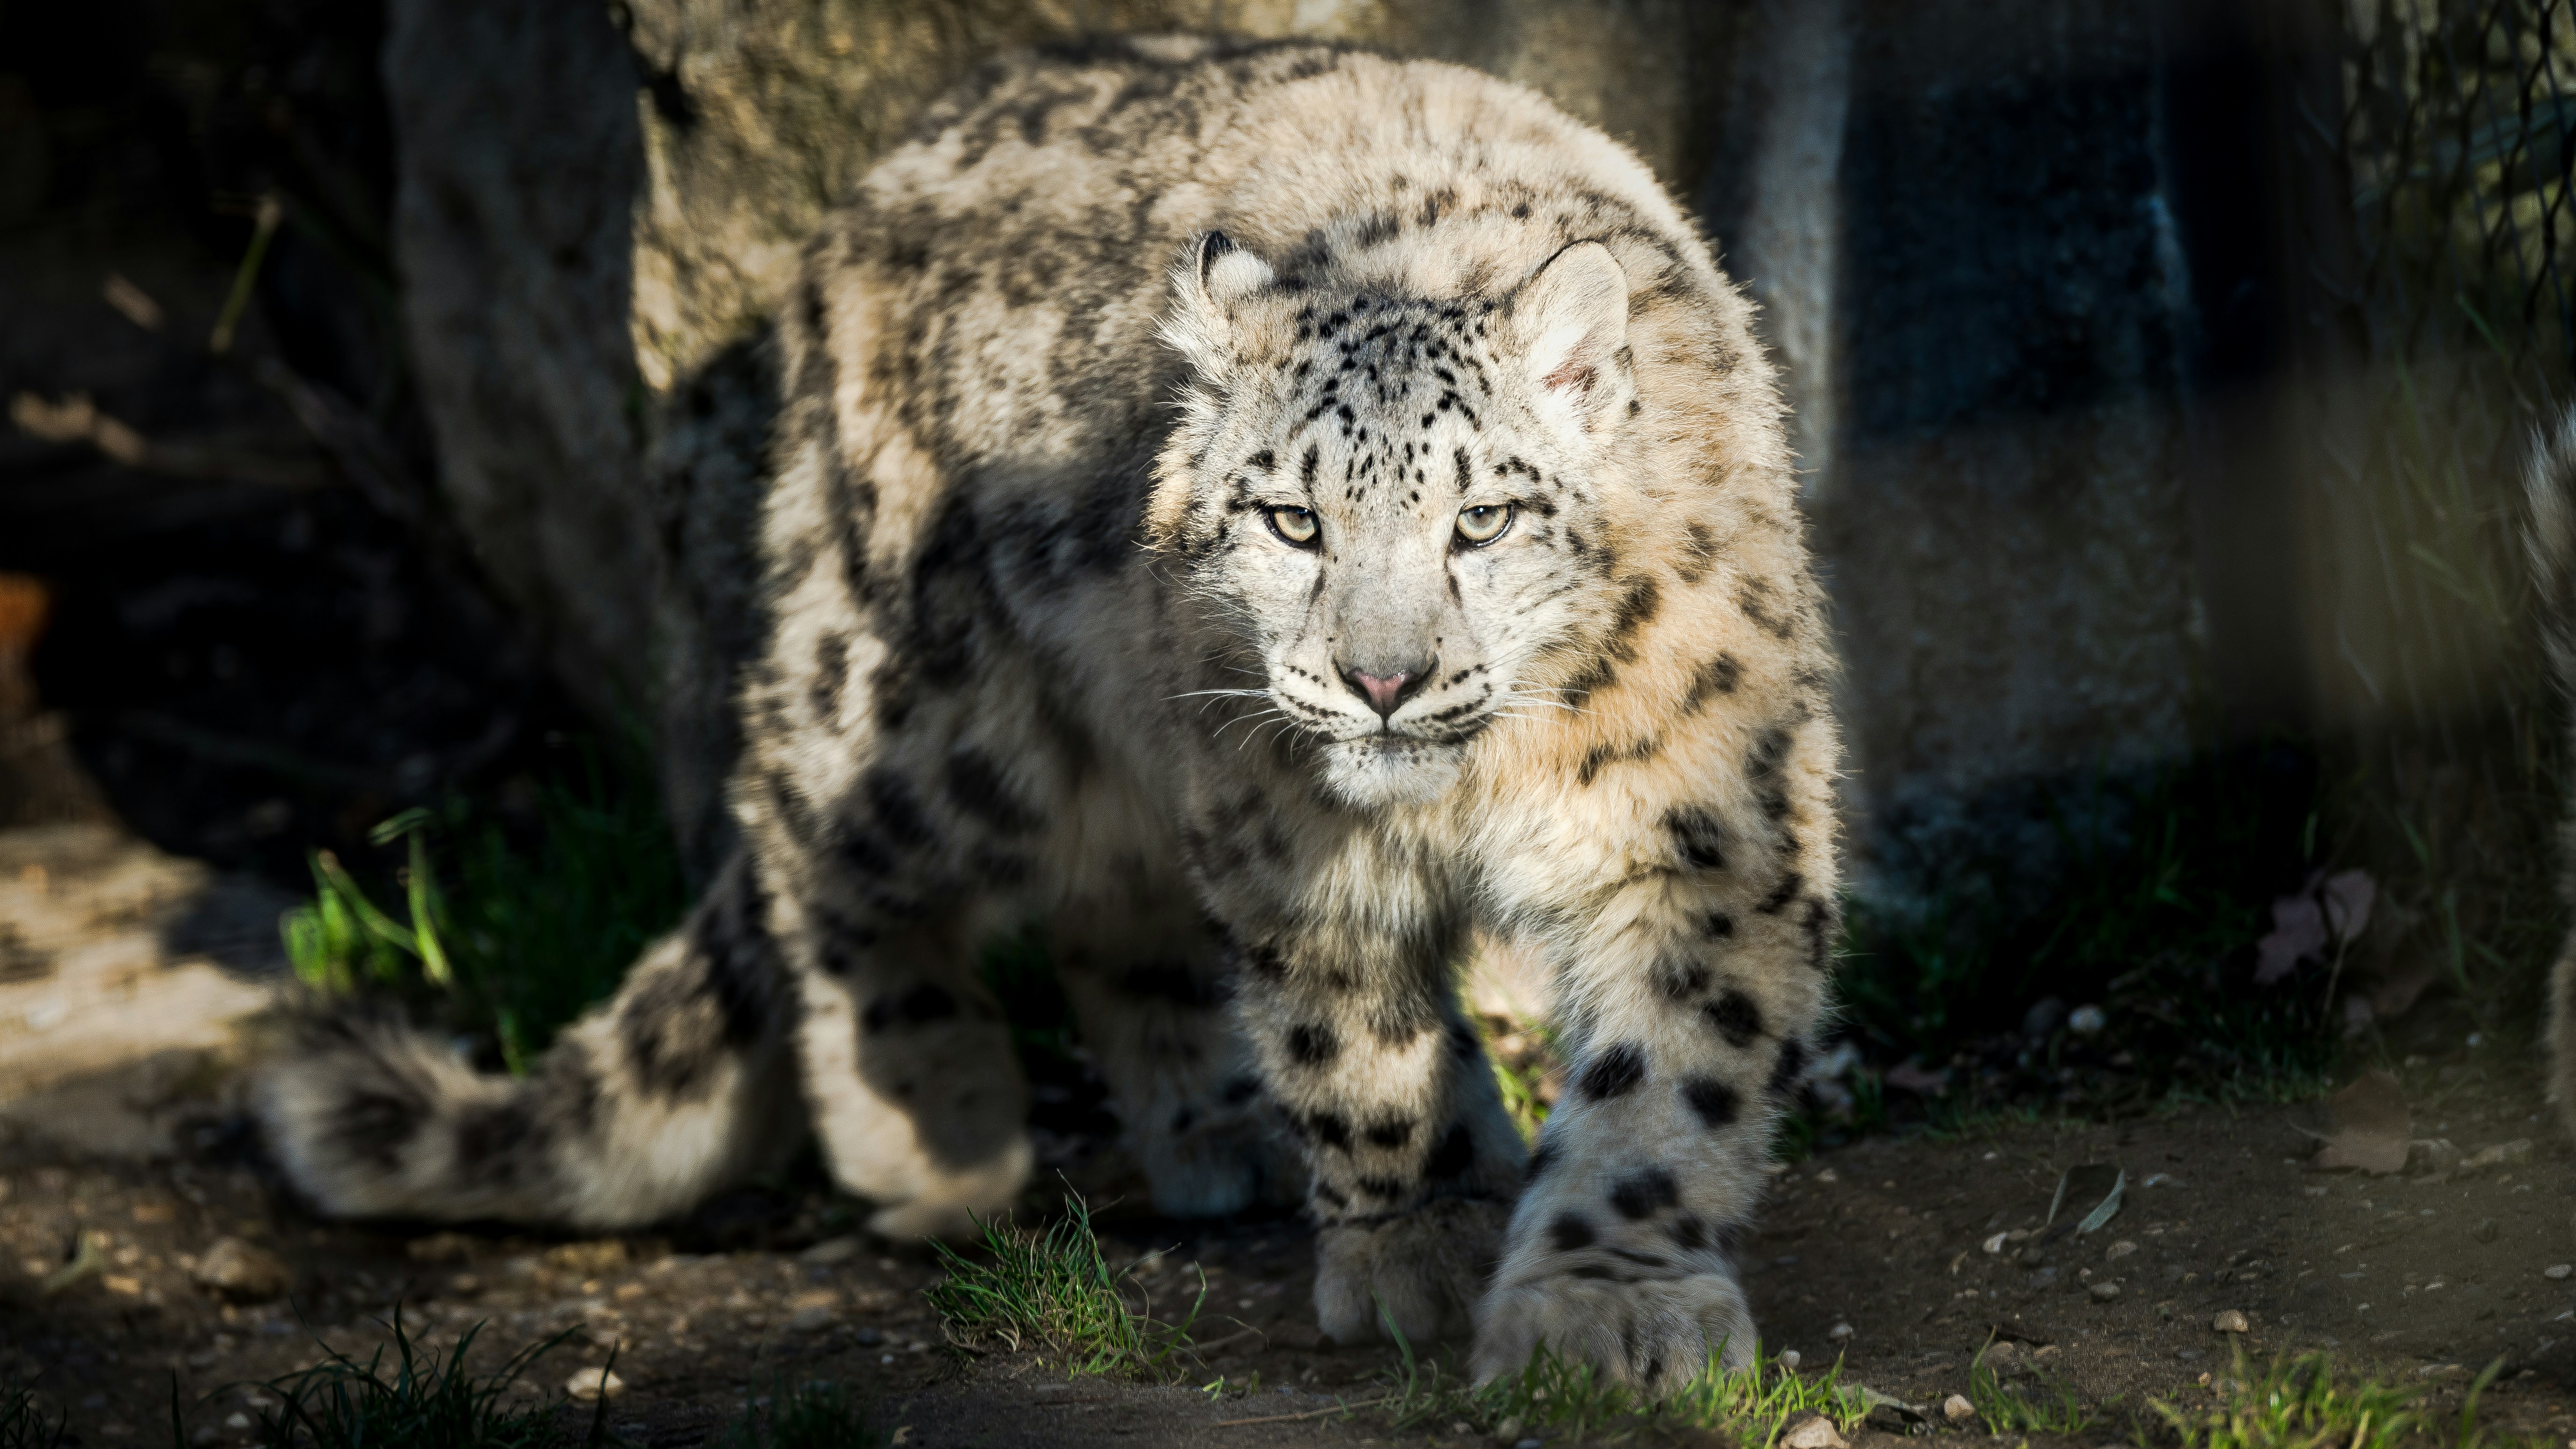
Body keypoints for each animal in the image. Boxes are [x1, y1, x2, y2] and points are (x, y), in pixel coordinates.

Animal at [256, 33, 1842, 1389]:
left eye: (1484, 518)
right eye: (1291, 520)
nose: (1381, 677)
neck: (1464, 796)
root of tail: (851, 214)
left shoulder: (1698, 815)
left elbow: (1666, 1072)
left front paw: (1606, 1304)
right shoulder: (1288, 828)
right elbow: (1359, 1043)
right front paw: (1425, 1240)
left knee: (1110, 911)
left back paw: (1219, 1128)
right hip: (931, 713)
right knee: (809, 843)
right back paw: (935, 1135)